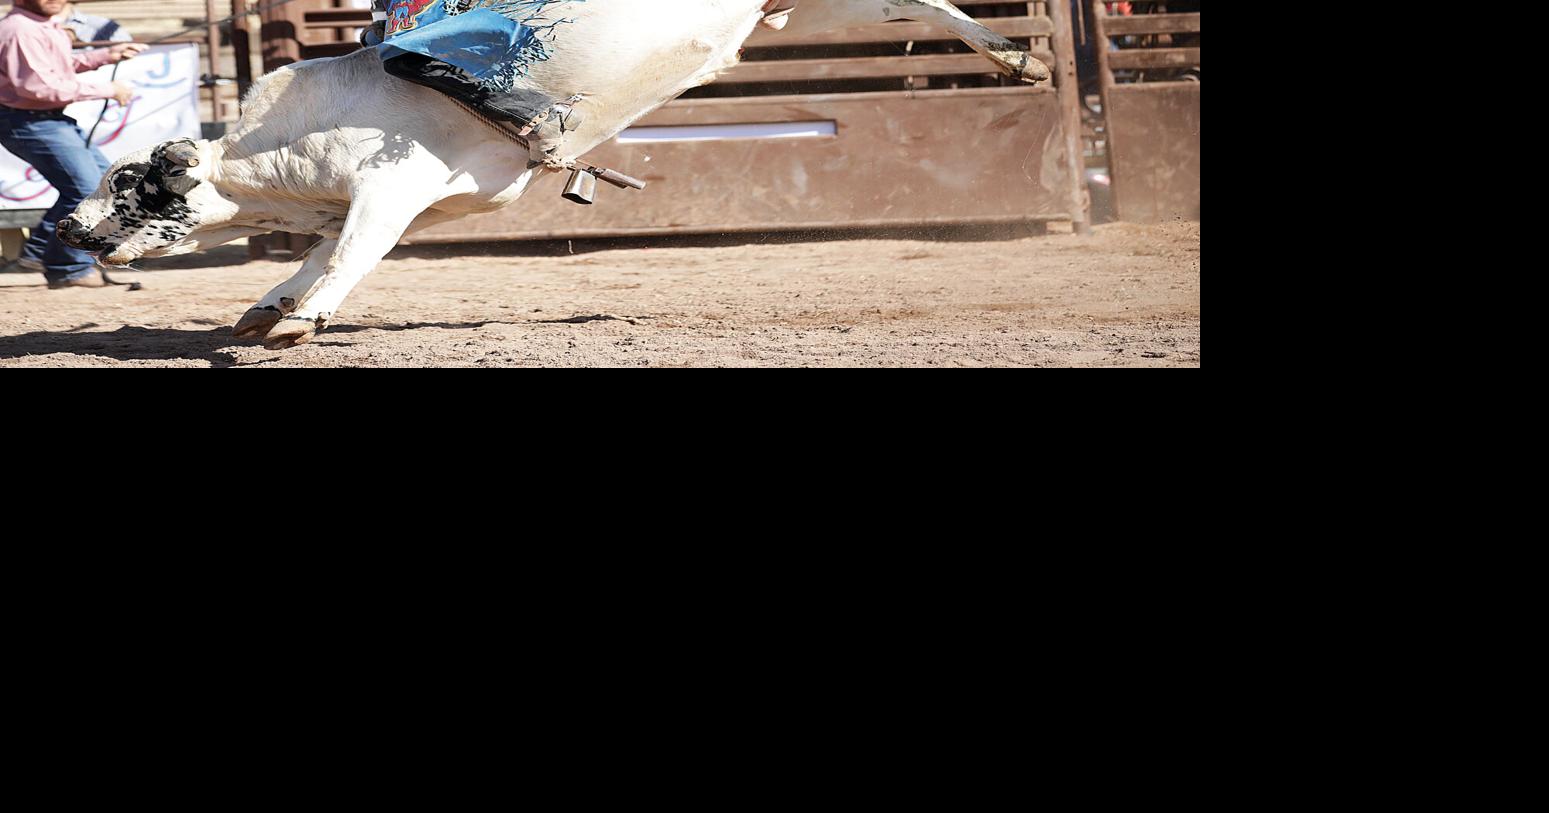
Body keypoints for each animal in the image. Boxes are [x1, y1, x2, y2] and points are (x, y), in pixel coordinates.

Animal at [58, 0, 1051, 349]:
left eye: (131, 182)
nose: (61, 229)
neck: (275, 159)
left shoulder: (392, 185)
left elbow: (346, 254)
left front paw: (300, 320)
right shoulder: (412, 202)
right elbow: (320, 253)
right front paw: (269, 304)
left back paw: (1014, 54)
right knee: (903, 3)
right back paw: (1016, 56)